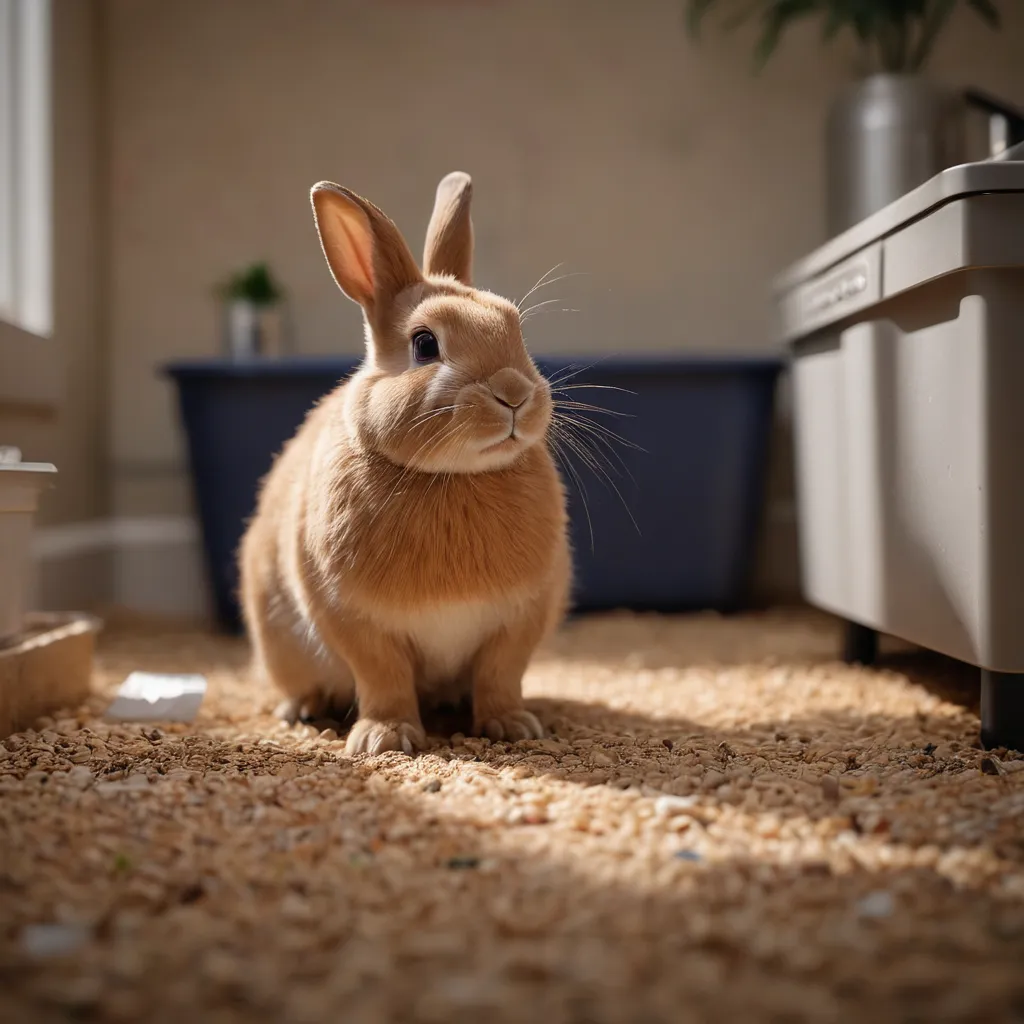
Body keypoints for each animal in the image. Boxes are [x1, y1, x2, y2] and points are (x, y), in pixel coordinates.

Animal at [239, 171, 571, 756]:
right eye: (424, 344)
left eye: (515, 327)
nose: (514, 393)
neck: (453, 477)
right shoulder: (354, 621)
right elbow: (384, 678)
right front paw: (385, 739)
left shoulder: (520, 620)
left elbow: (500, 676)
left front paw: (513, 726)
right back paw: (301, 711)